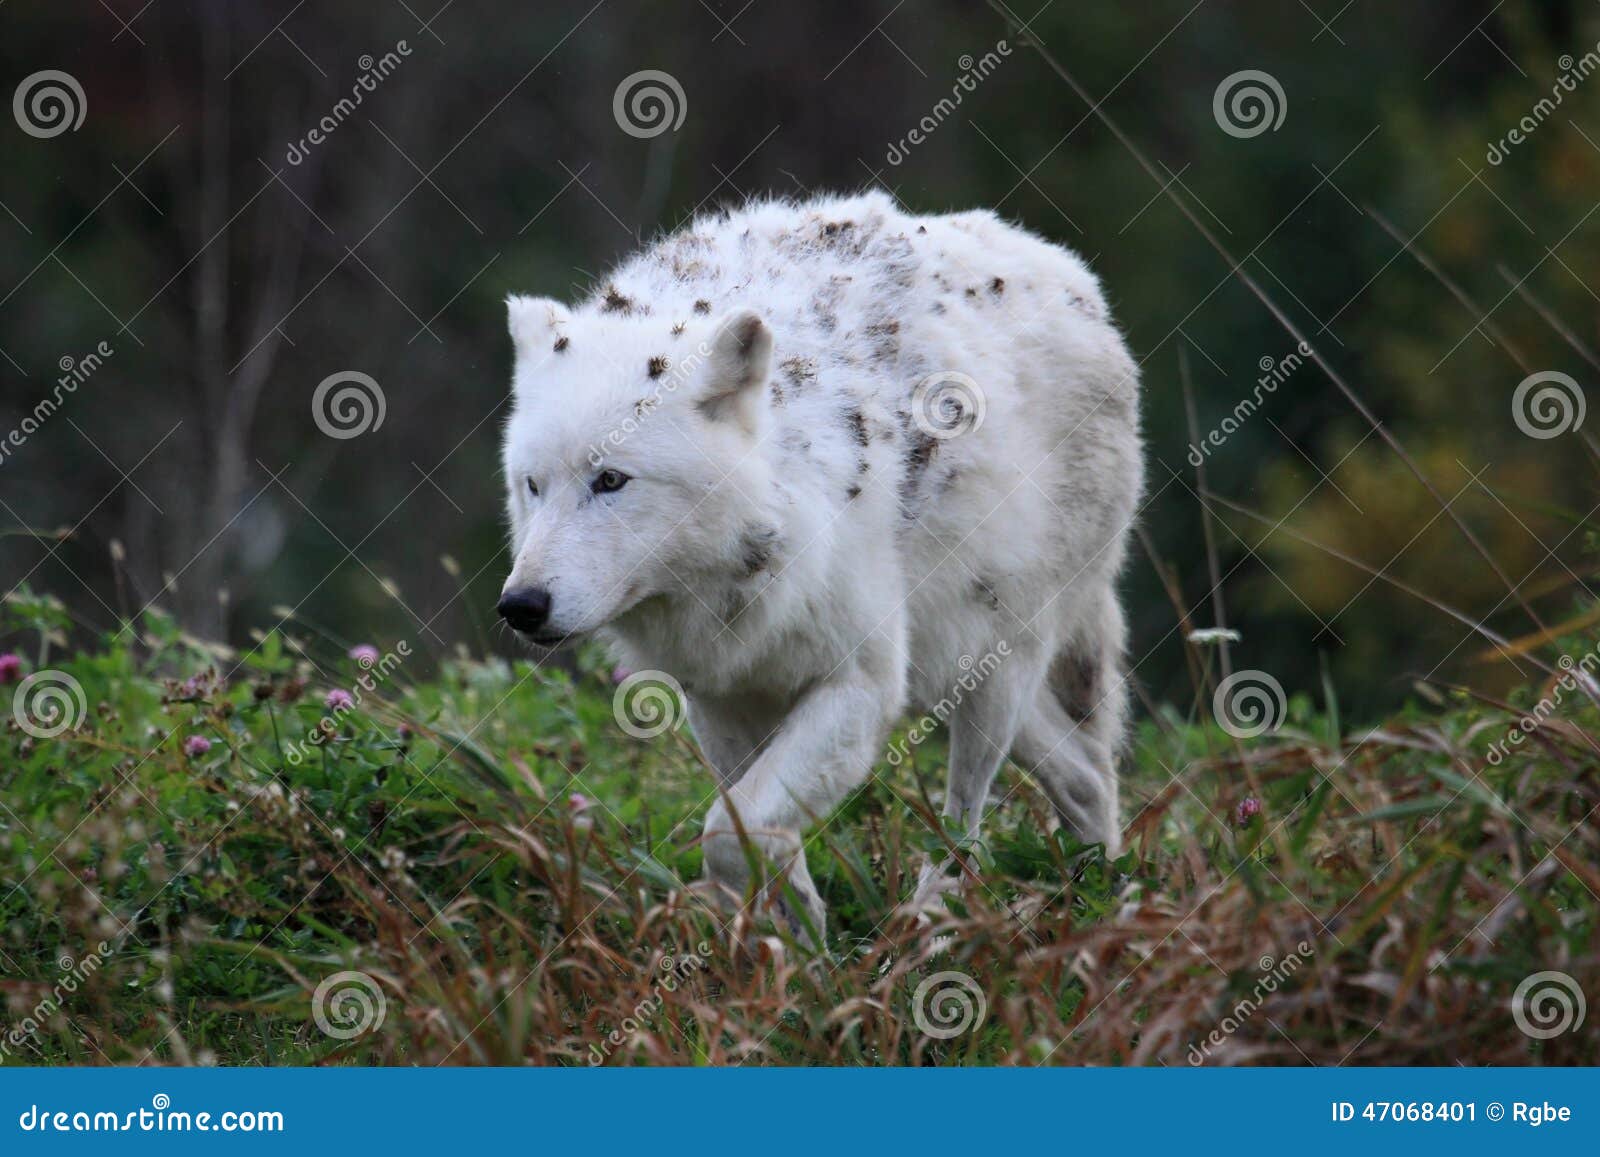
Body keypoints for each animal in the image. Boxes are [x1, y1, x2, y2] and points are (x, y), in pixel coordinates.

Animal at [499, 190, 1143, 941]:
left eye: (610, 480)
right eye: (533, 485)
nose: (521, 605)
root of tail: (1075, 280)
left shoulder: (860, 687)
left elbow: (728, 831)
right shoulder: (719, 697)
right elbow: (755, 827)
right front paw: (798, 935)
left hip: (992, 667)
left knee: (969, 815)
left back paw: (939, 919)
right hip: (953, 668)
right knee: (1086, 776)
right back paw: (1102, 896)